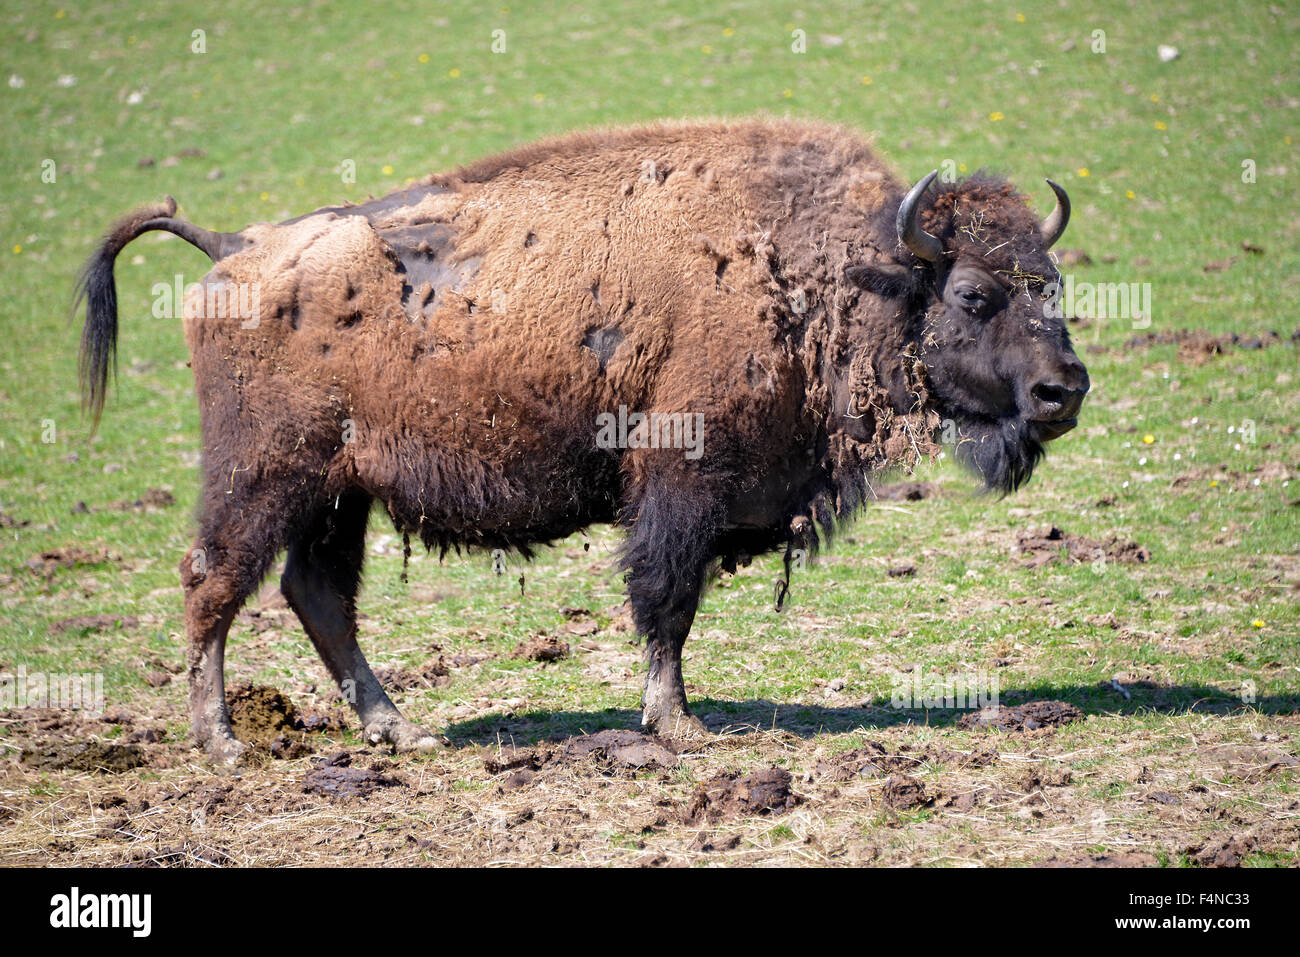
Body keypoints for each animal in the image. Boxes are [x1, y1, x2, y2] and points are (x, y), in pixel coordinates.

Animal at [76, 119, 1088, 762]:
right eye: (974, 294)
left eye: (1050, 283)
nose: (1064, 389)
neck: (828, 273)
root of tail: (235, 246)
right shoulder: (681, 486)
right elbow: (666, 599)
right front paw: (678, 725)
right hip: (265, 475)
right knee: (214, 580)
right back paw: (223, 743)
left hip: (338, 492)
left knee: (315, 594)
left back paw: (398, 728)